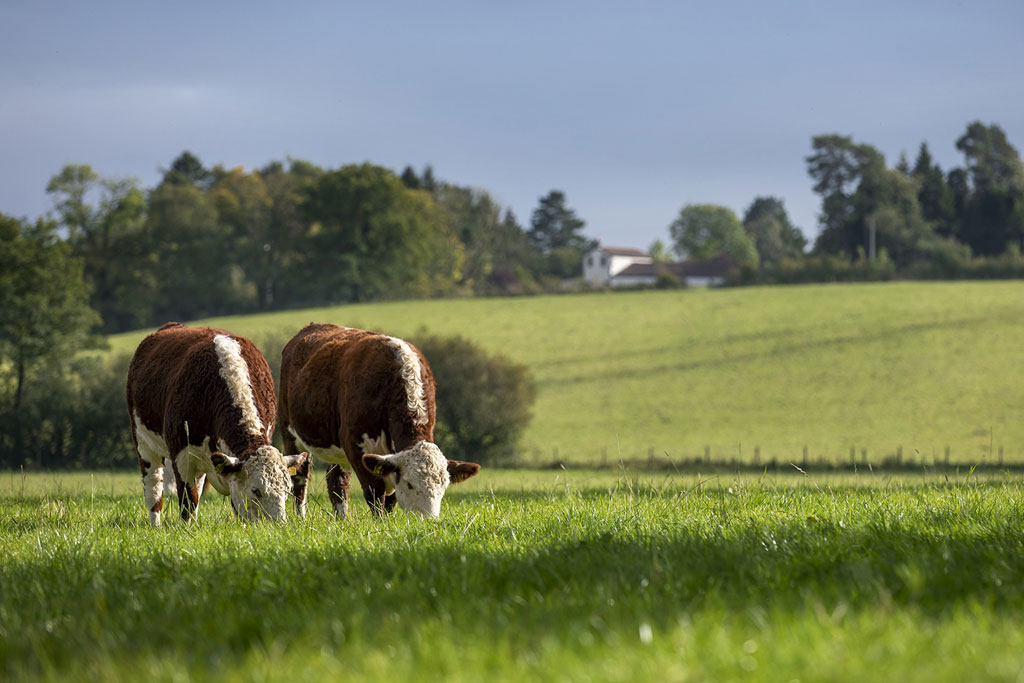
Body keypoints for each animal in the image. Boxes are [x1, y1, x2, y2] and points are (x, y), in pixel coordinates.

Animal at [126, 322, 309, 526]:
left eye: (287, 488)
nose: (279, 525)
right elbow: (187, 500)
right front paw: (187, 528)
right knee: (153, 486)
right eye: (256, 490)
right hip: (143, 442)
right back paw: (155, 524)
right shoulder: (182, 454)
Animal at [278, 322, 480, 519]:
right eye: (409, 484)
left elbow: (390, 500)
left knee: (336, 480)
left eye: (443, 486)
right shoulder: (355, 445)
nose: (429, 521)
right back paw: (301, 517)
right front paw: (380, 523)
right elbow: (375, 494)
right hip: (290, 434)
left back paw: (342, 519)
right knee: (300, 480)